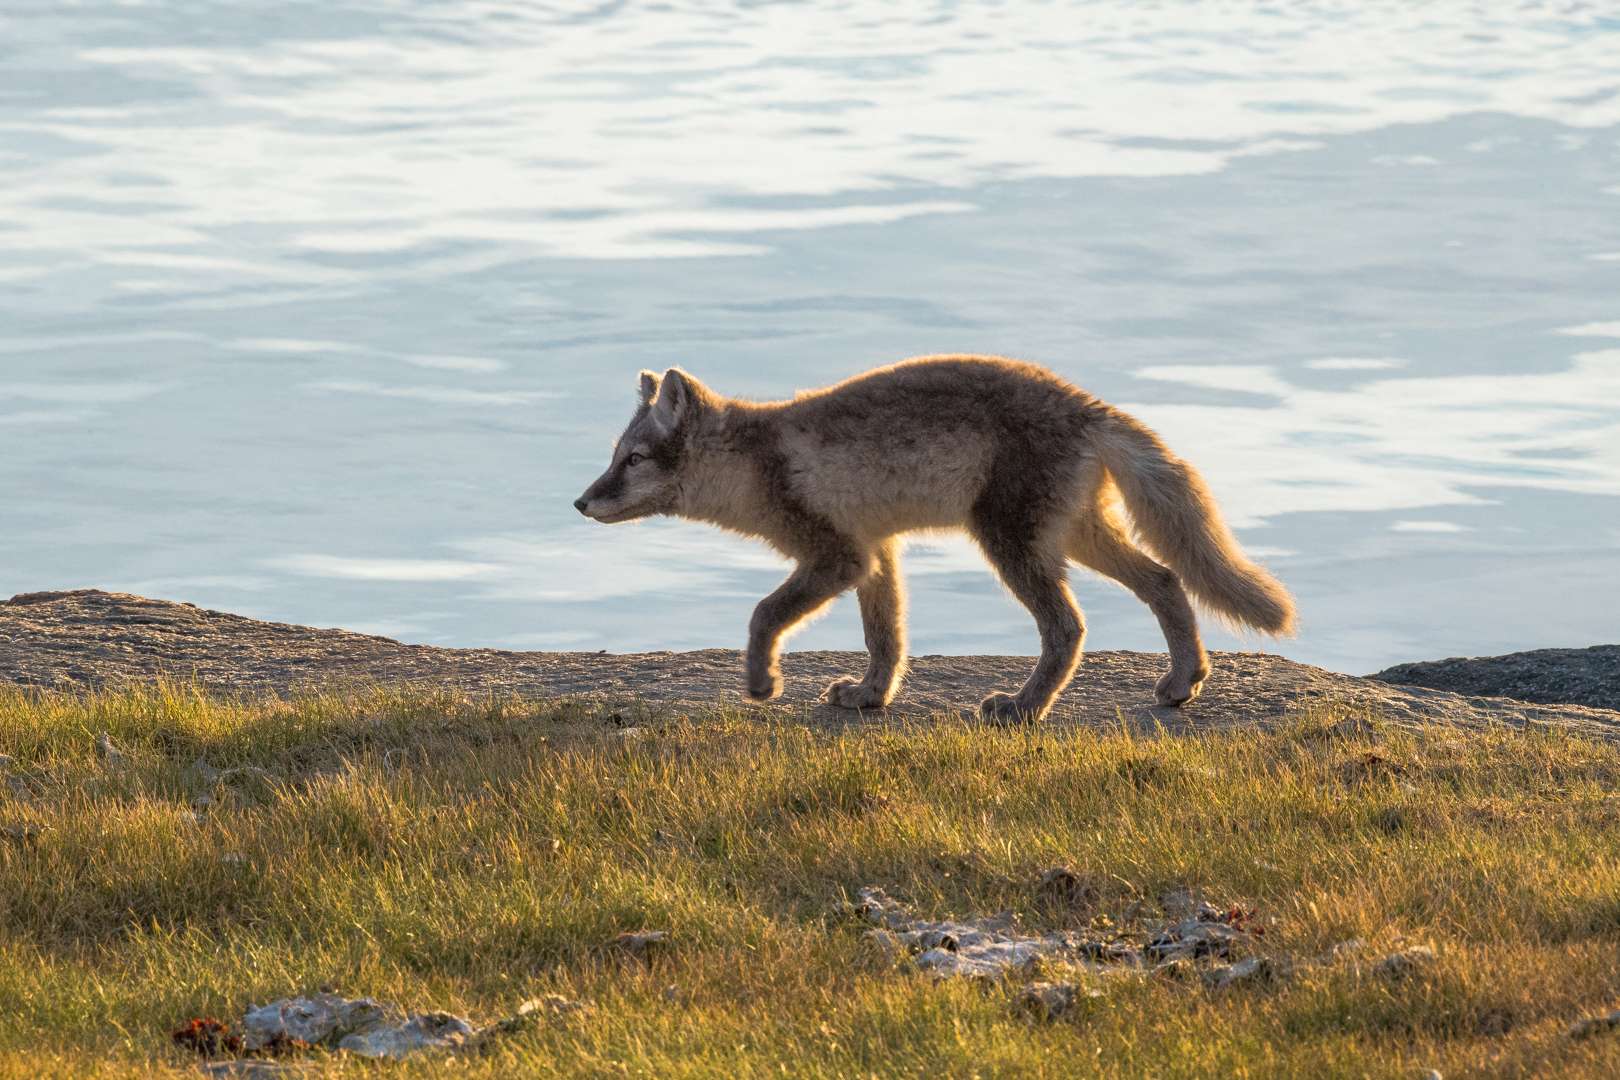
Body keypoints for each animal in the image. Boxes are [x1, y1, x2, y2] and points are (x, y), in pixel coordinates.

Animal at [574, 355, 1296, 723]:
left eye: (633, 459)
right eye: (613, 455)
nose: (580, 502)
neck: (758, 459)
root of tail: (1088, 406)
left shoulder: (838, 556)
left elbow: (762, 614)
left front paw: (762, 682)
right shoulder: (876, 554)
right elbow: (886, 639)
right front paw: (870, 696)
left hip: (1013, 544)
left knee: (1068, 627)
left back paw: (1024, 707)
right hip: (1075, 537)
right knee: (1166, 580)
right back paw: (1182, 681)